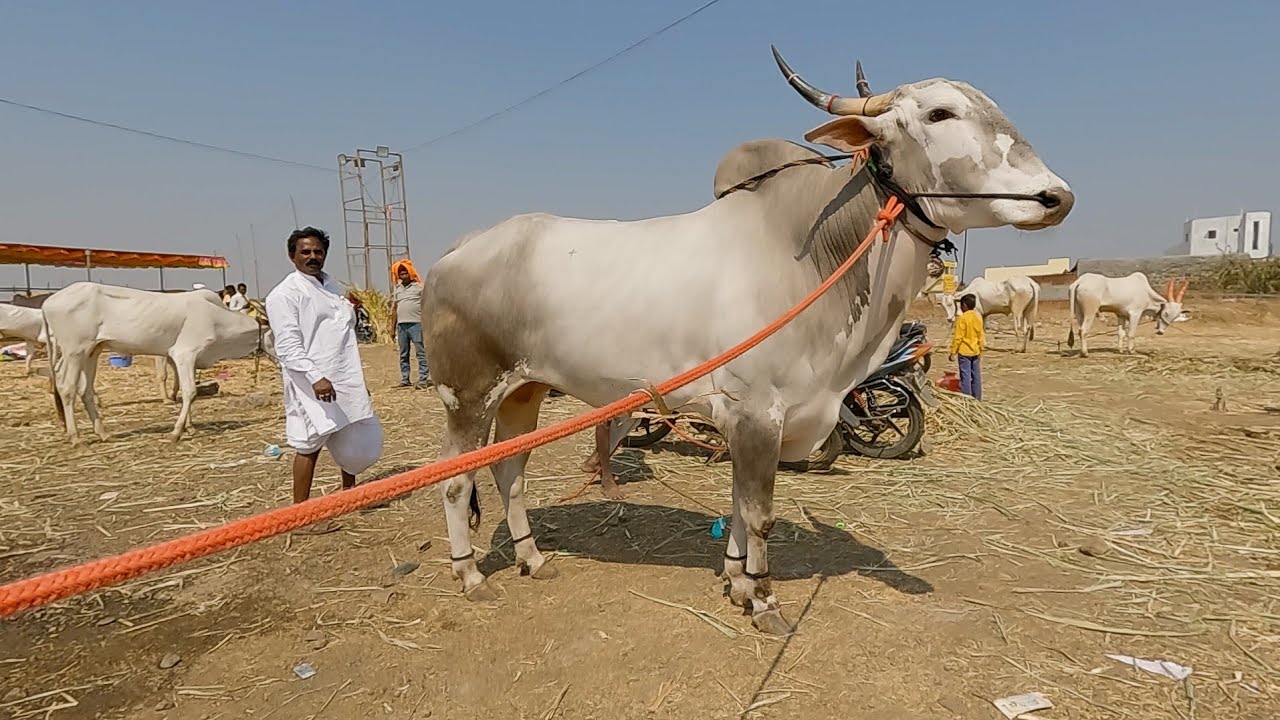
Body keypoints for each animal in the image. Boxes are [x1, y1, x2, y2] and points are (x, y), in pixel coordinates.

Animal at [42, 282, 274, 445]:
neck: (217, 320)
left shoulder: (183, 359)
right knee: (66, 387)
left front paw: (189, 427)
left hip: (92, 351)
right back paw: (75, 437)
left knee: (86, 390)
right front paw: (176, 433)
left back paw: (104, 433)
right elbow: (190, 392)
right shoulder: (184, 354)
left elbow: (184, 392)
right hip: (75, 351)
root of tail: (47, 303)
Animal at [418, 46, 1075, 634]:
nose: (1057, 196)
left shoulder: (756, 420)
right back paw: (470, 575)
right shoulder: (758, 412)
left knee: (510, 473)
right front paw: (762, 601)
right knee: (455, 479)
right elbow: (758, 513)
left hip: (523, 390)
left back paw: (532, 558)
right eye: (940, 114)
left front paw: (737, 581)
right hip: (468, 395)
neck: (812, 254)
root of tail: (459, 248)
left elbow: (738, 508)